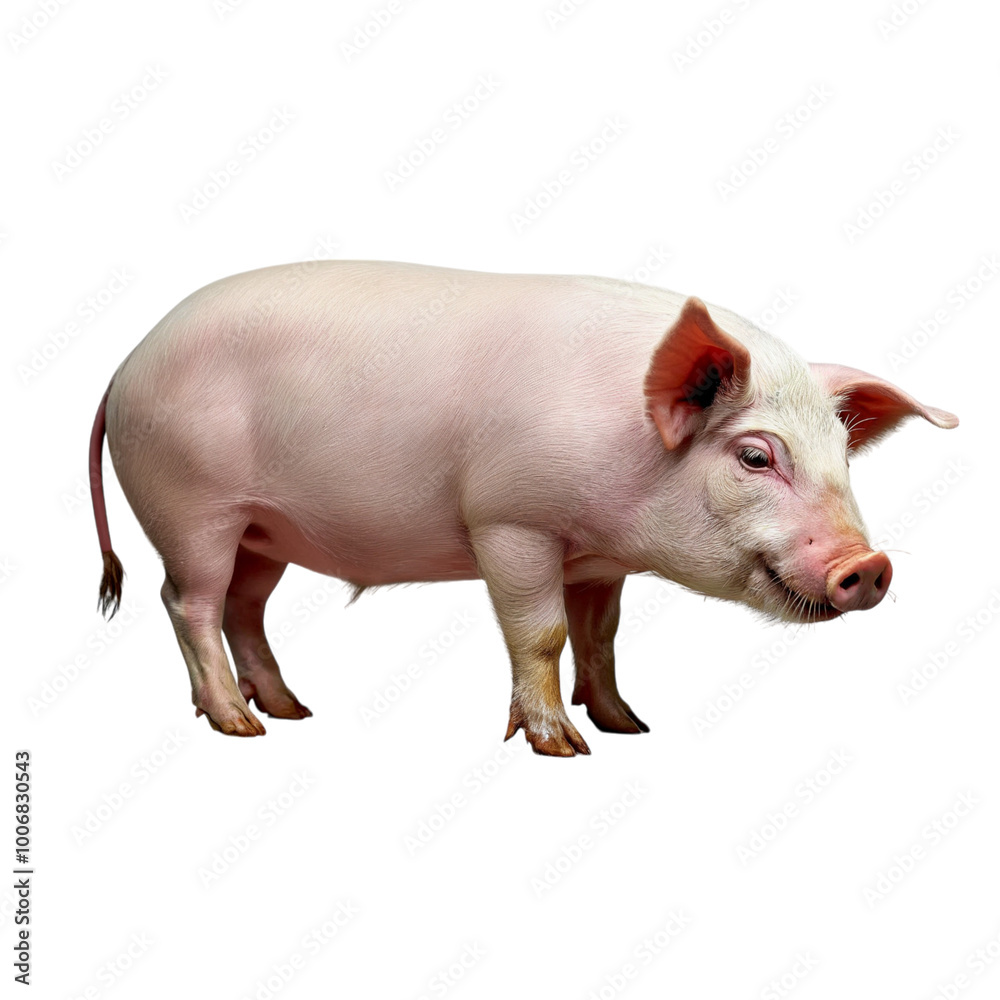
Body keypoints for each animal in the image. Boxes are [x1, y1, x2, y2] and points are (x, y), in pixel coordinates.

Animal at [88, 261, 958, 755]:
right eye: (754, 456)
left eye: (843, 454)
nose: (869, 564)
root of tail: (124, 367)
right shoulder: (509, 520)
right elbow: (541, 635)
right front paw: (562, 749)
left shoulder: (600, 559)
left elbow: (600, 637)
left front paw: (628, 726)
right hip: (192, 508)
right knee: (188, 602)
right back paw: (240, 727)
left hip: (262, 532)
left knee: (244, 608)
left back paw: (292, 710)